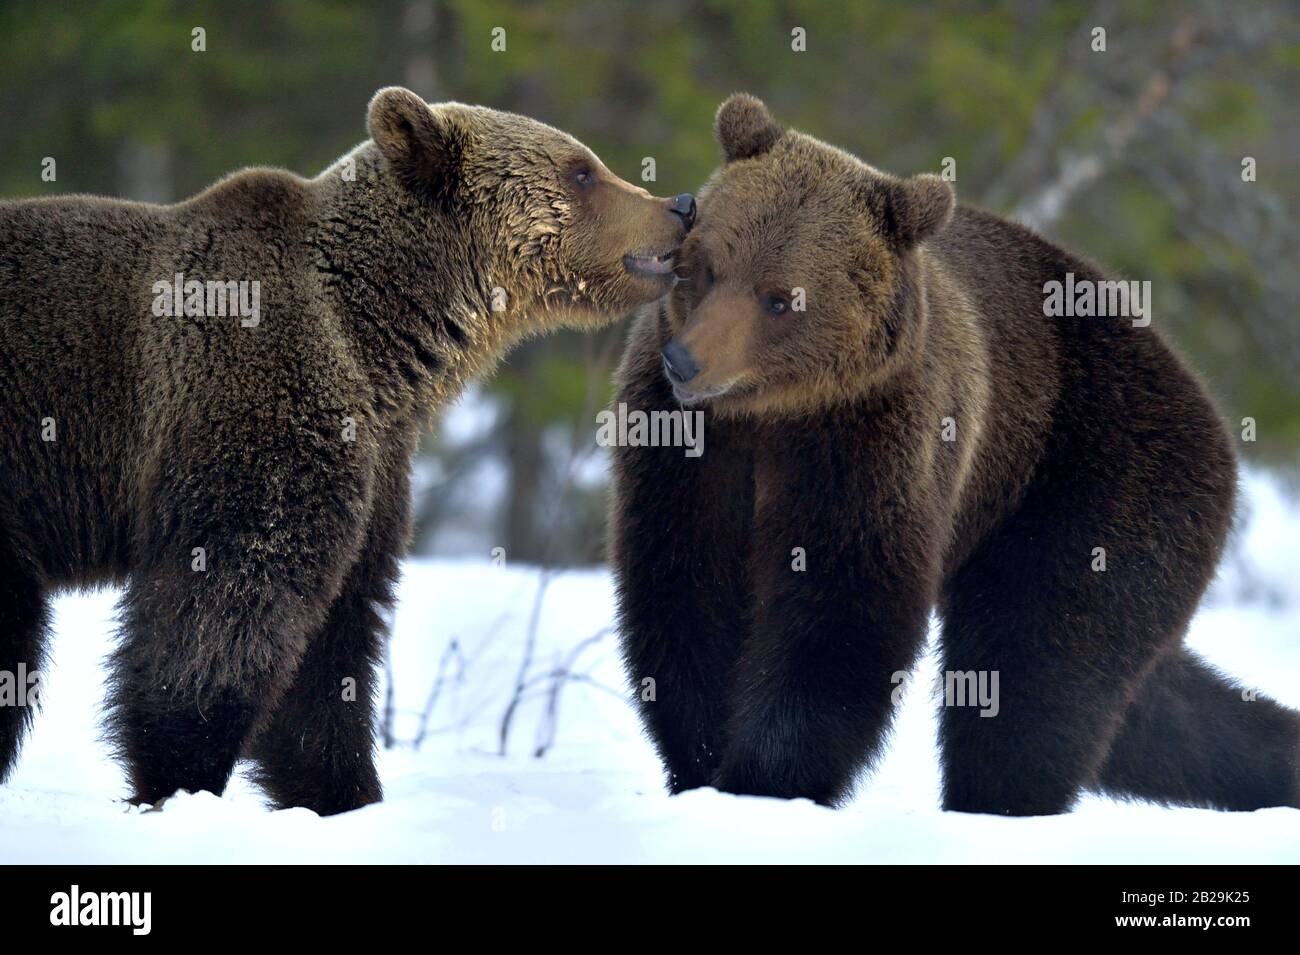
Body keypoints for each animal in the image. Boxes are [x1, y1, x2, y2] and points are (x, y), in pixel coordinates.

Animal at [0, 86, 695, 815]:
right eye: (582, 170)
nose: (680, 204)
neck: (378, 340)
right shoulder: (249, 393)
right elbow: (229, 592)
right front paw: (178, 772)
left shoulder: (374, 456)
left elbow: (336, 634)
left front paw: (340, 789)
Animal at [609, 93, 1300, 815]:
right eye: (708, 264)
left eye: (780, 297)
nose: (687, 361)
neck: (770, 417)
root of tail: (1206, 404)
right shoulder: (687, 448)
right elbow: (684, 584)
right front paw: (703, 761)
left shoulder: (870, 439)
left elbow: (840, 608)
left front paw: (768, 776)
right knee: (1147, 710)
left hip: (1098, 472)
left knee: (1037, 664)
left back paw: (997, 801)